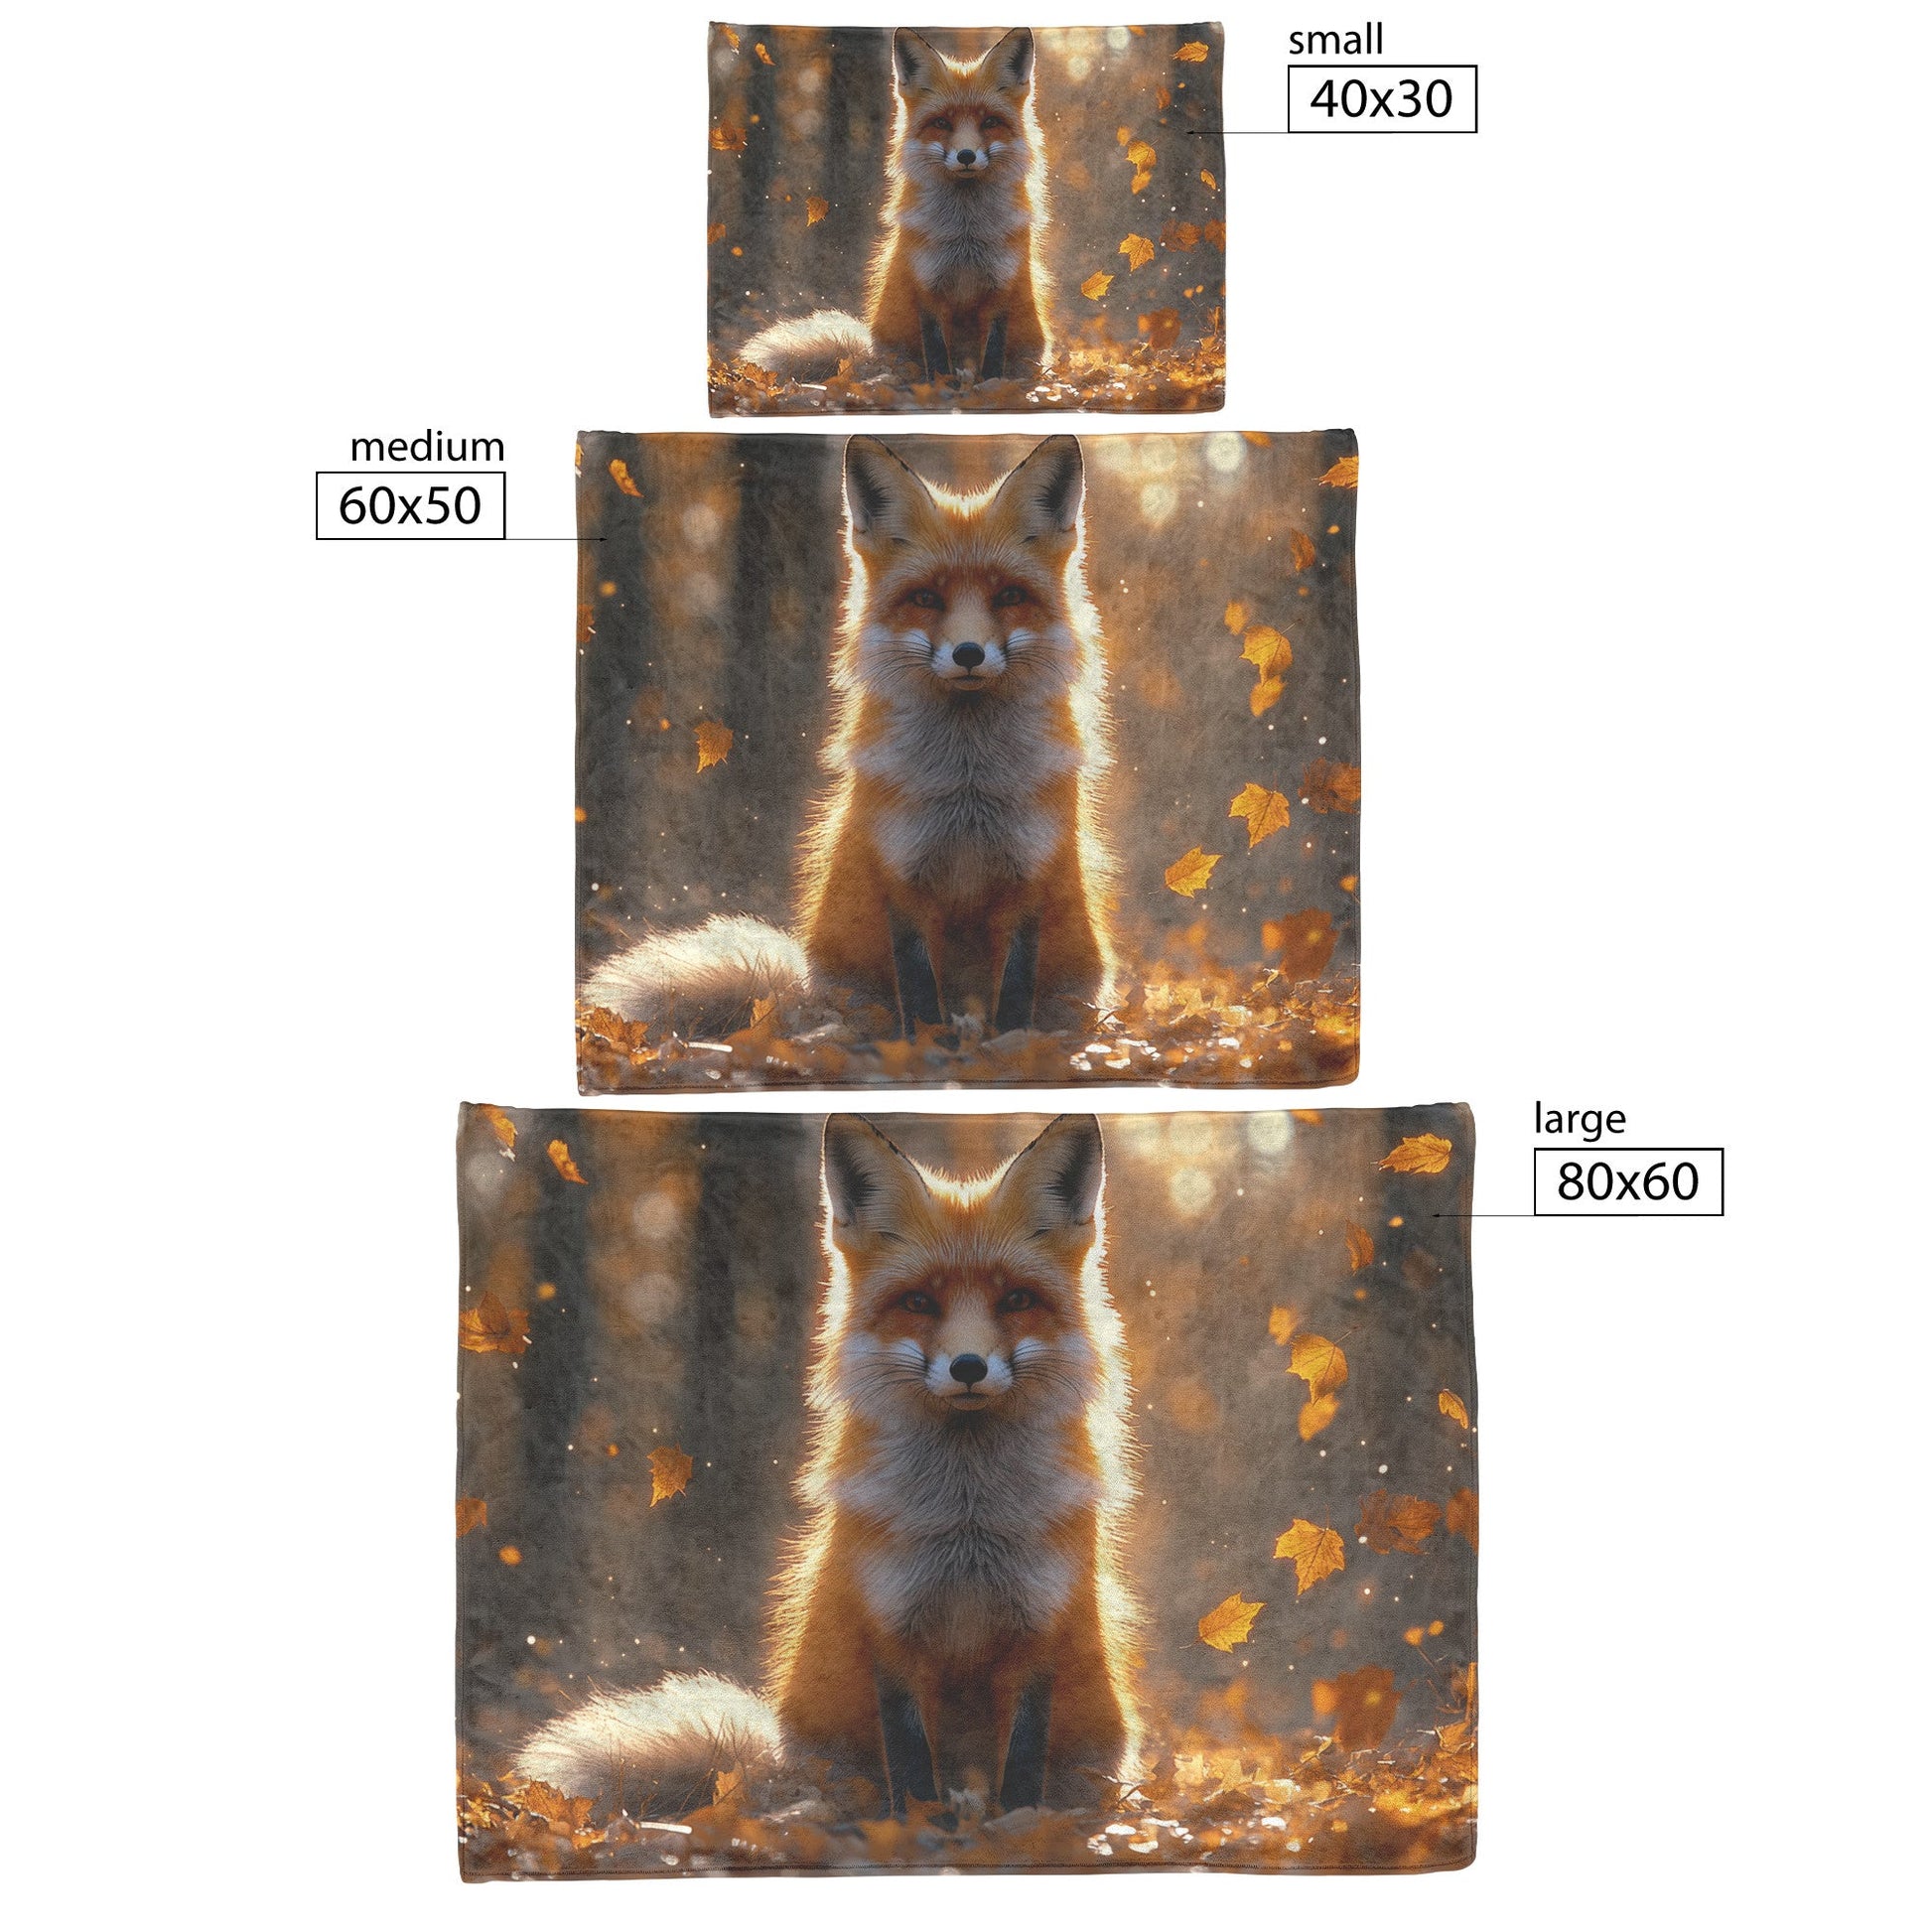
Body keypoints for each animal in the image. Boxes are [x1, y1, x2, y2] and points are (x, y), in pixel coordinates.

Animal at [512, 1114, 1143, 1815]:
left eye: (1015, 1300)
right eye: (919, 1303)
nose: (968, 1366)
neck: (967, 1519)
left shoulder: (1040, 1626)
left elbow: (1025, 1762)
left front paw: (1025, 1824)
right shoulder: (889, 1626)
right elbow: (909, 1758)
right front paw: (914, 1823)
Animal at [581, 432, 1115, 1039]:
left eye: (1008, 597)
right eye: (926, 599)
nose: (968, 653)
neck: (967, 784)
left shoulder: (1031, 876)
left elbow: (1017, 991)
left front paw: (1016, 1047)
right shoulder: (900, 878)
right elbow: (918, 988)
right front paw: (922, 1045)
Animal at [738, 27, 1053, 385]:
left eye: (989, 122)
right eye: (941, 123)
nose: (966, 156)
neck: (965, 233)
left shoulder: (1002, 287)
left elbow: (994, 353)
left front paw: (993, 387)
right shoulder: (927, 286)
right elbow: (936, 351)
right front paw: (939, 386)